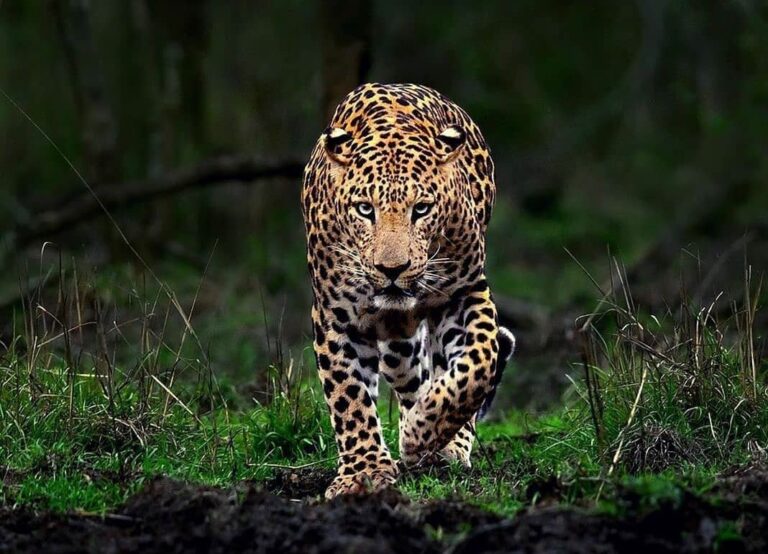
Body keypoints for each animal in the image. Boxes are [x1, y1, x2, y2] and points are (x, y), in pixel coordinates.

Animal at [301, 83, 516, 499]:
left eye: (422, 209)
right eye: (364, 209)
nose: (392, 269)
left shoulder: (465, 292)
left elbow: (479, 363)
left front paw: (422, 433)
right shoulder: (335, 315)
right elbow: (349, 396)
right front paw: (363, 473)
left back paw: (443, 444)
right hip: (397, 345)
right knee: (410, 377)